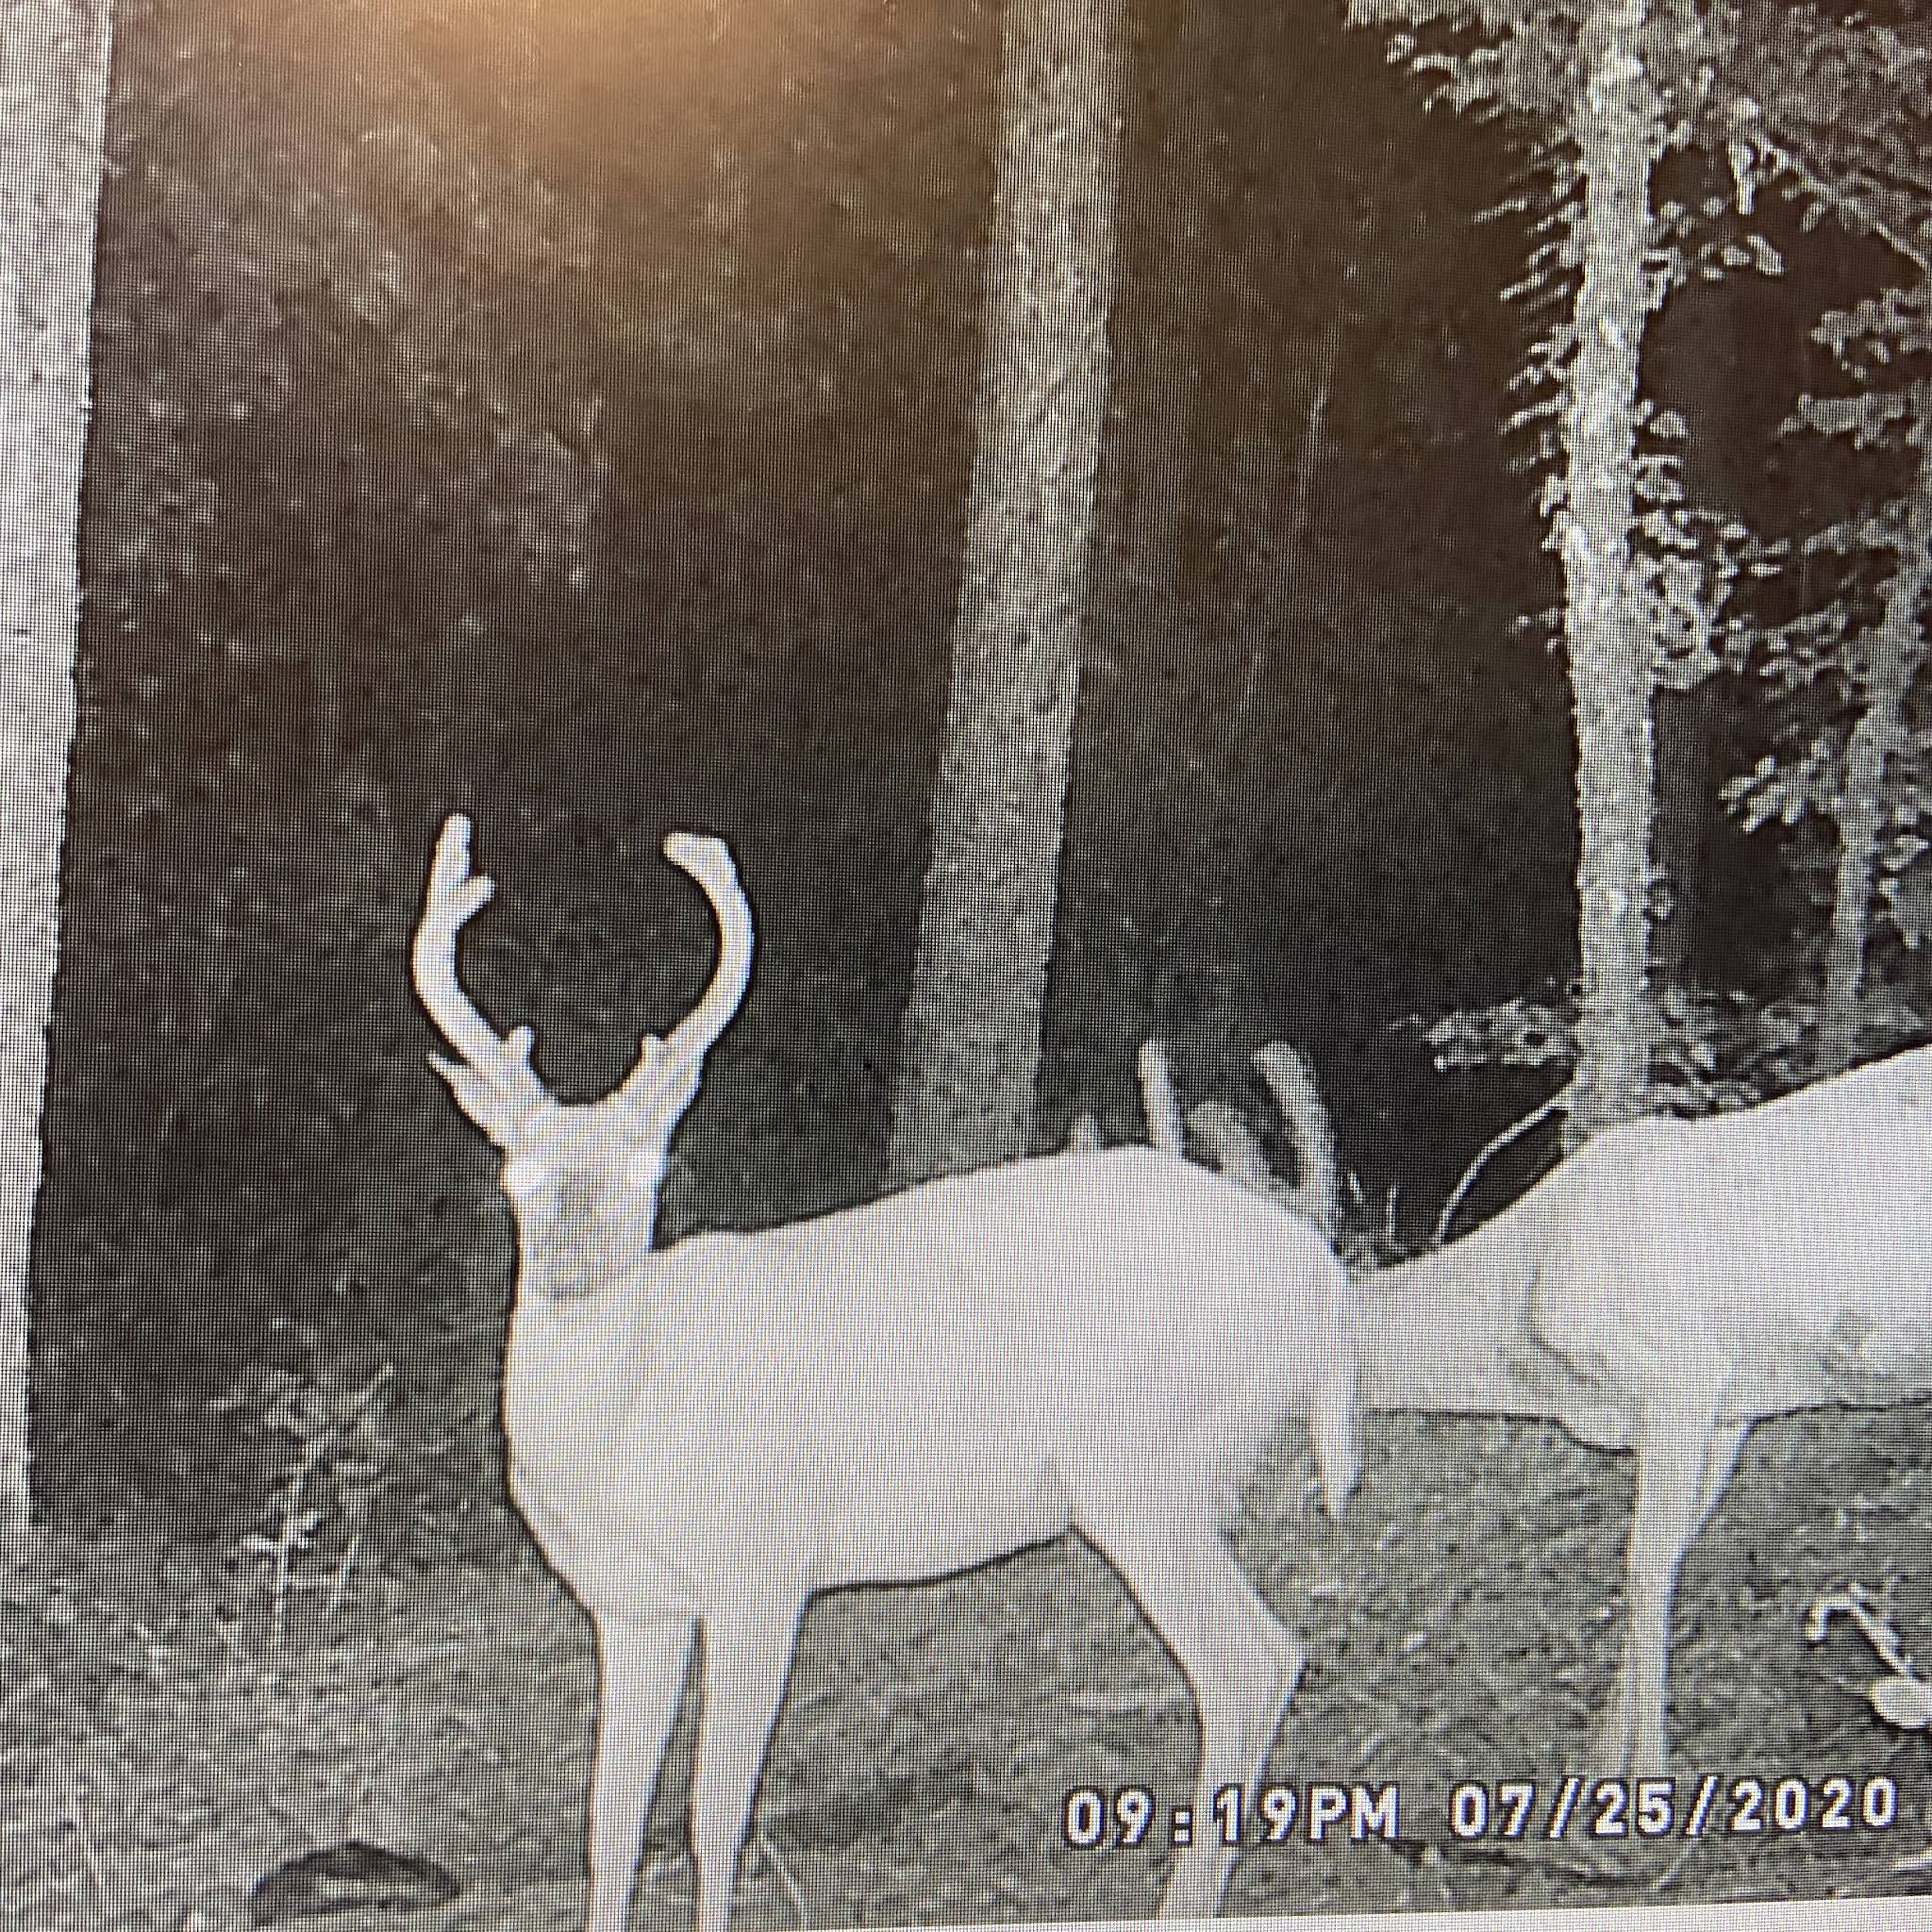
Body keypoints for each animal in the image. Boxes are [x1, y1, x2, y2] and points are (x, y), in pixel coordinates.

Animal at [411, 813, 1361, 1932]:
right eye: (516, 1172)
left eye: (652, 1169)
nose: (573, 1270)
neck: (619, 1438)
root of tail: (1314, 1271)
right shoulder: (628, 1602)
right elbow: (610, 1817)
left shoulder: (762, 1566)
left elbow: (713, 1809)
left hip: (1140, 1465)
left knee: (1254, 1660)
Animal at [1185, 1036, 1932, 1778]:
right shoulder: (1730, 1411)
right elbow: (1667, 1558)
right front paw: (1602, 1758)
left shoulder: (1682, 1379)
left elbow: (1644, 1567)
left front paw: (1649, 1770)